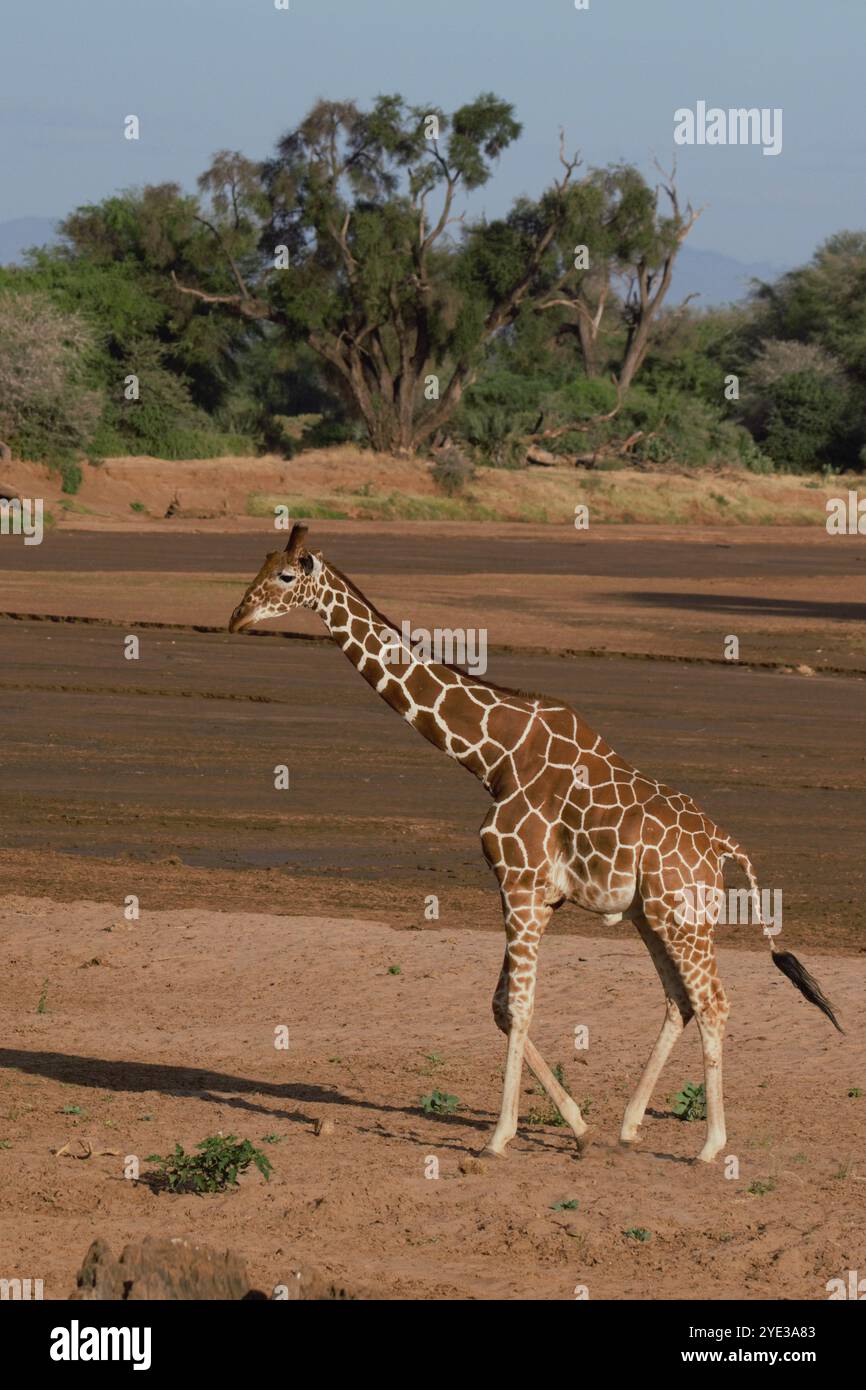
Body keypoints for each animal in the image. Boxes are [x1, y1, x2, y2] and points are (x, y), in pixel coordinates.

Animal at [229, 524, 843, 1162]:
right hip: (653, 916)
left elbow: (518, 1007)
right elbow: (501, 1007)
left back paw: (710, 1146)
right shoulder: (538, 896)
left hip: (685, 916)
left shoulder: (519, 885)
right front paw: (577, 1124)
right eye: (262, 563)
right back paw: (629, 1124)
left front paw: (499, 1136)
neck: (491, 755)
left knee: (713, 1002)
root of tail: (724, 843)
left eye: (286, 576)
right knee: (680, 1000)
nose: (236, 617)